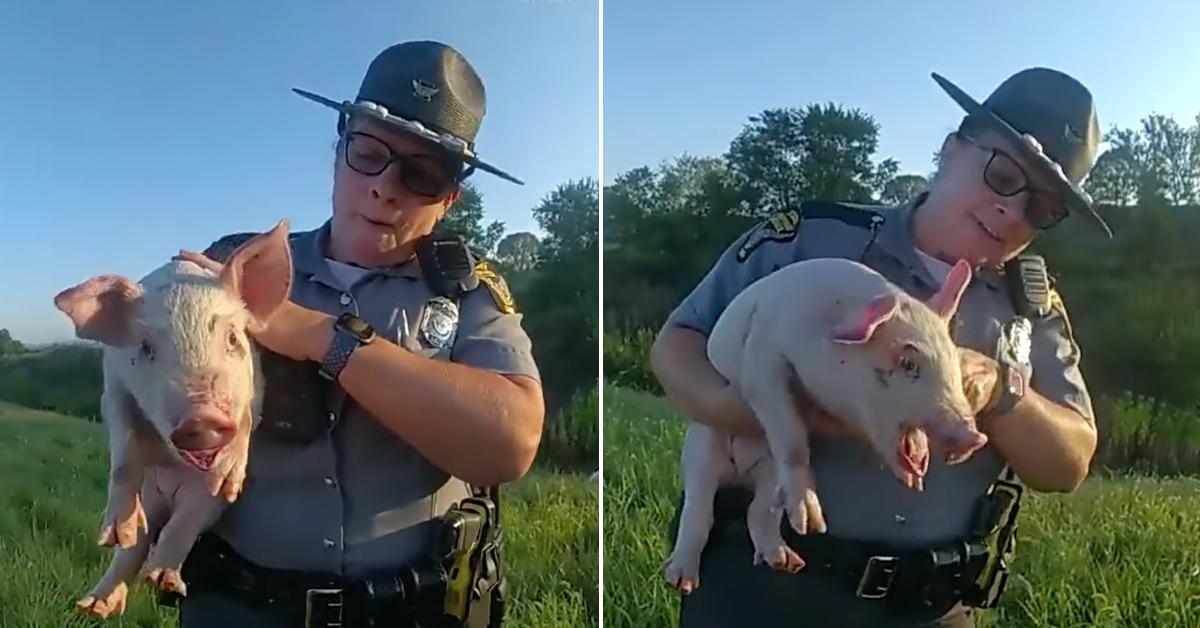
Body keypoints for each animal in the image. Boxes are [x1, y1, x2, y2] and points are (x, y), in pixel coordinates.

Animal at [53, 220, 292, 618]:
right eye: (146, 348)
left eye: (232, 338)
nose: (202, 419)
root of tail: (167, 496)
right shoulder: (113, 385)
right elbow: (124, 455)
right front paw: (112, 535)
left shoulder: (256, 388)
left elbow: (243, 427)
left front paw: (227, 477)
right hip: (149, 498)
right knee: (133, 548)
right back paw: (96, 603)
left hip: (202, 508)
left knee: (187, 519)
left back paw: (164, 581)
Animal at [664, 257, 989, 594]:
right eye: (908, 363)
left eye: (954, 364)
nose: (975, 437)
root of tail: (740, 473)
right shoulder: (761, 354)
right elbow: (789, 432)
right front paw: (813, 525)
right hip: (702, 446)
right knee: (700, 512)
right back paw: (682, 580)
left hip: (768, 473)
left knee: (759, 511)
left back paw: (788, 561)